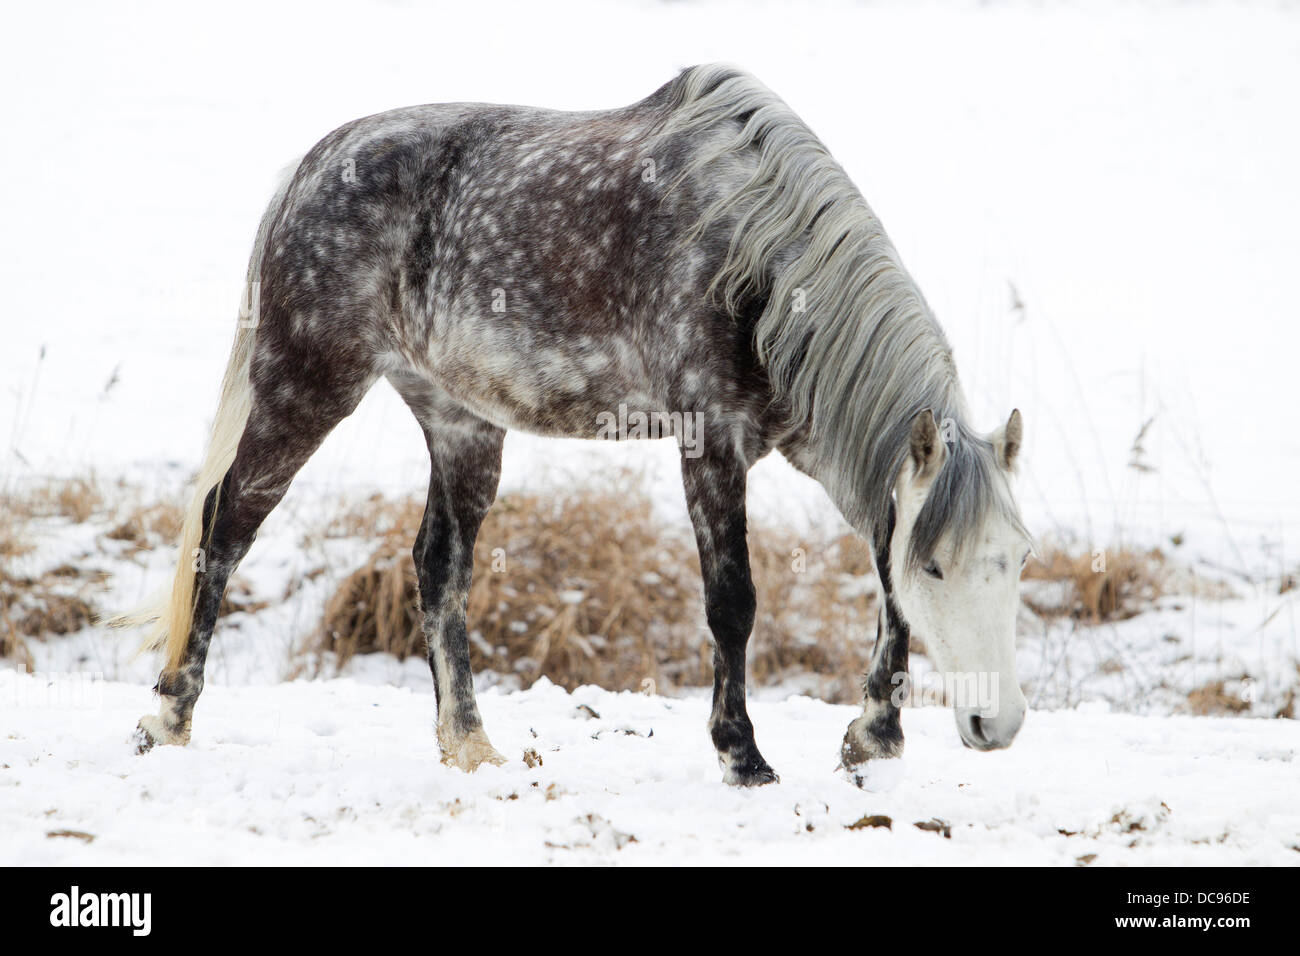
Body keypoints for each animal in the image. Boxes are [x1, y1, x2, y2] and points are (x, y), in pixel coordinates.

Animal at [114, 64, 1031, 787]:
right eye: (940, 567)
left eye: (1018, 558)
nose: (1000, 727)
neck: (754, 258)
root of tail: (310, 166)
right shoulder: (710, 444)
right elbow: (733, 602)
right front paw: (743, 755)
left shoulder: (834, 454)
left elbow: (883, 584)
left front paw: (874, 738)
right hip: (305, 387)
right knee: (224, 529)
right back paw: (170, 718)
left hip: (460, 423)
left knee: (439, 571)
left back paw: (470, 746)